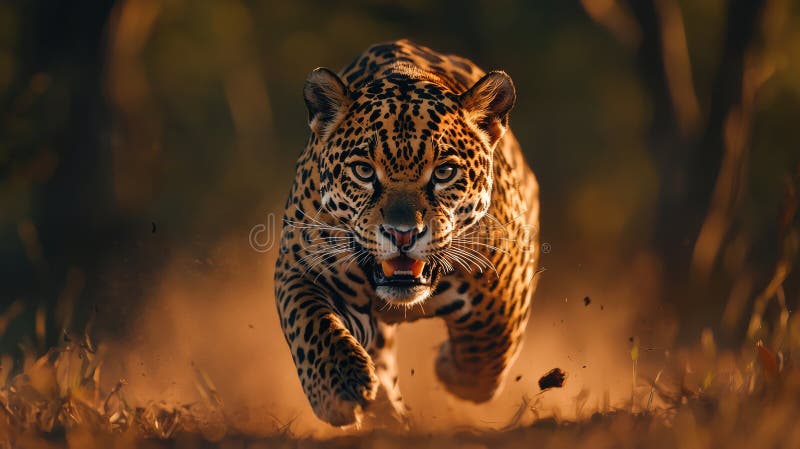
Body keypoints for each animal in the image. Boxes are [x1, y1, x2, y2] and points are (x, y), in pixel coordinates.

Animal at [274, 39, 540, 427]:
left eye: (444, 172)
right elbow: (310, 322)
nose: (402, 234)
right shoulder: (300, 266)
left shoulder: (507, 279)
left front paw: (454, 373)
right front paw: (339, 388)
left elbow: (490, 342)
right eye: (363, 171)